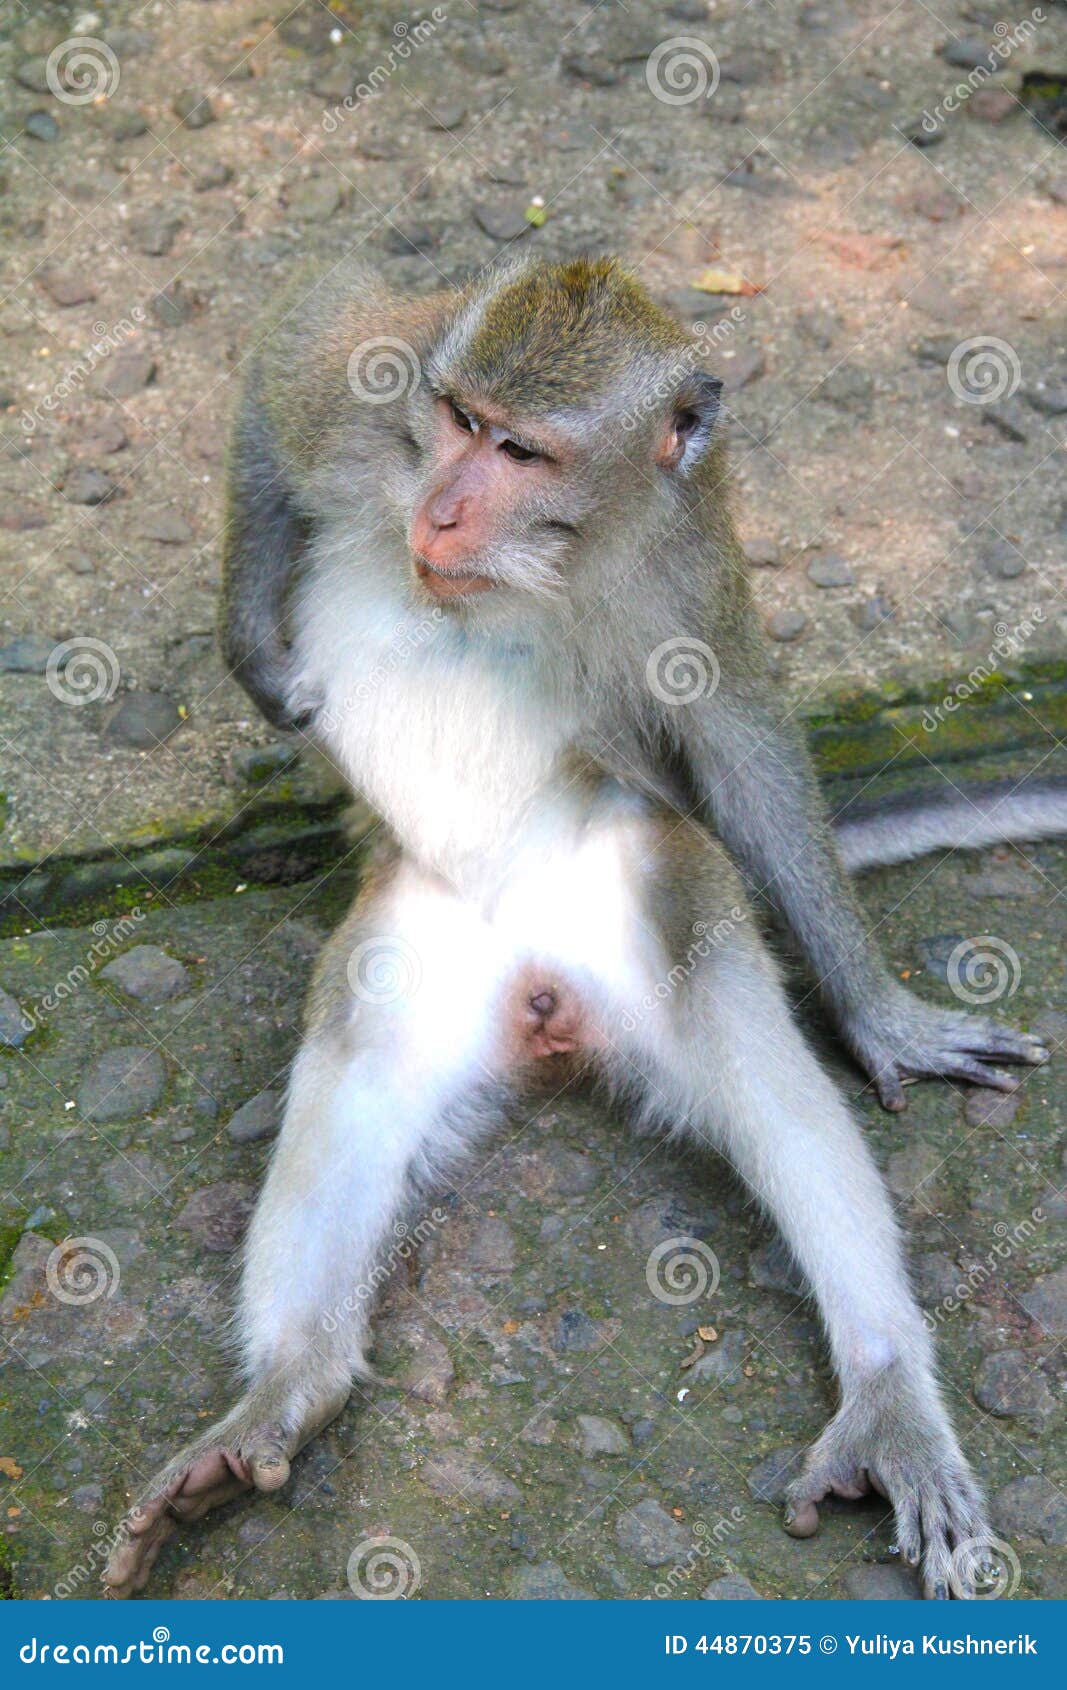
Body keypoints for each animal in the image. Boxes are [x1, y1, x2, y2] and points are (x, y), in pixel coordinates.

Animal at [104, 257, 1065, 1599]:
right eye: (458, 421)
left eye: (521, 450)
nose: (441, 511)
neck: (536, 559)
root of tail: (539, 986)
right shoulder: (371, 398)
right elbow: (288, 349)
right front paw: (251, 650)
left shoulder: (685, 561)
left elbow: (739, 740)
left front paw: (875, 1011)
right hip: (415, 942)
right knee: (358, 1048)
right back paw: (284, 1390)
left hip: (649, 871)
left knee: (752, 1048)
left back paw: (884, 1390)